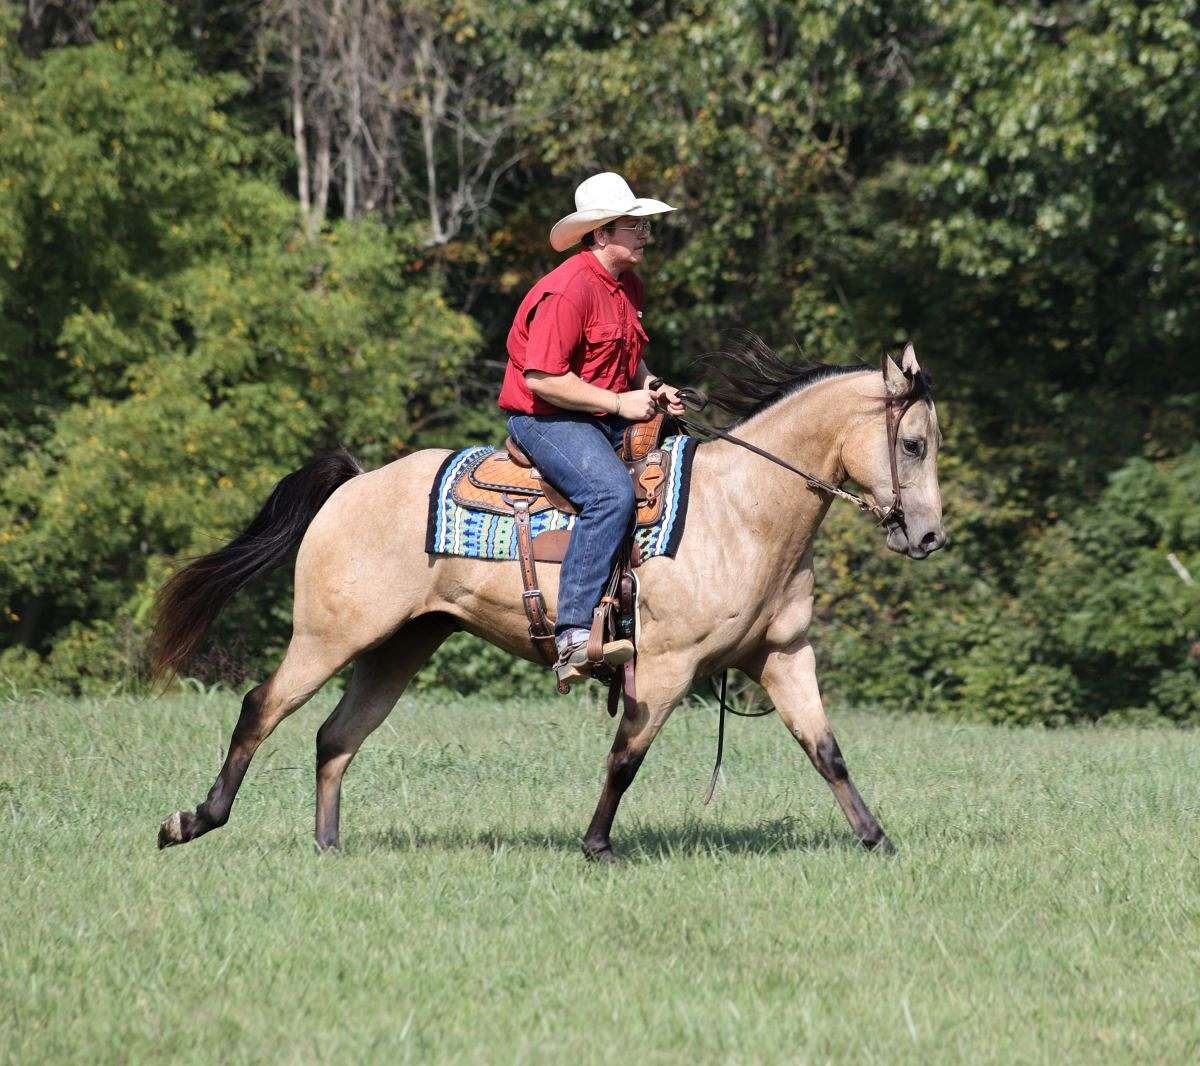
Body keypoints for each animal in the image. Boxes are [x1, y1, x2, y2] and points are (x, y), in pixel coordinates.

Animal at [150, 339, 945, 860]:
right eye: (913, 444)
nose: (930, 535)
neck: (742, 510)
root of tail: (354, 481)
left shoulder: (782, 655)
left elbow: (826, 750)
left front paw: (878, 841)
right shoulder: (666, 665)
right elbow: (626, 755)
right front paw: (596, 844)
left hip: (402, 644)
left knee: (336, 736)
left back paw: (328, 848)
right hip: (329, 636)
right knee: (263, 707)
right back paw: (191, 822)